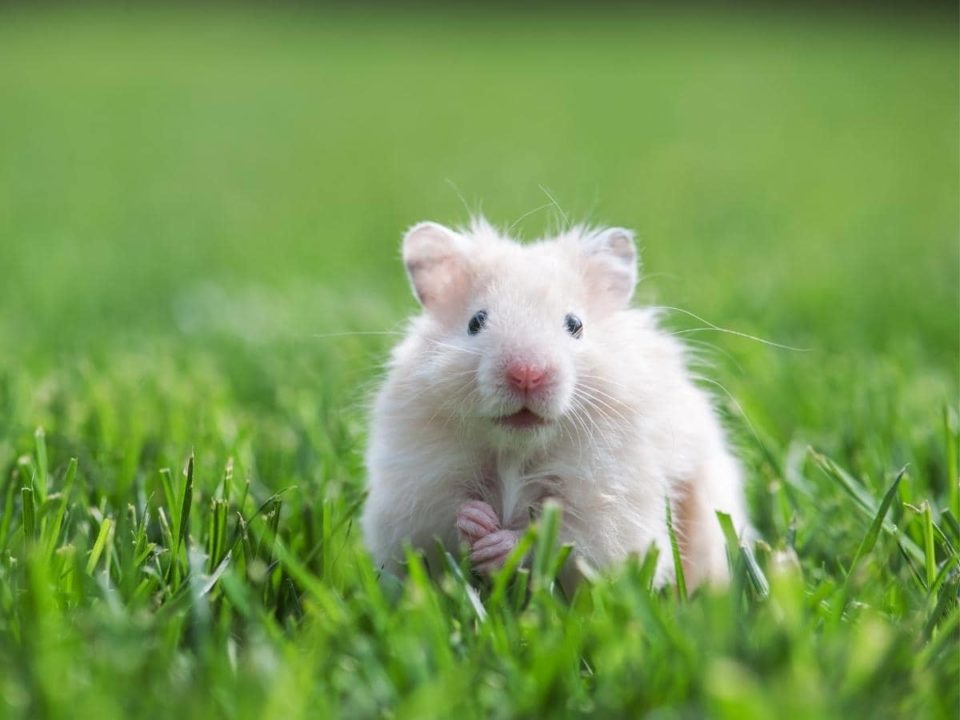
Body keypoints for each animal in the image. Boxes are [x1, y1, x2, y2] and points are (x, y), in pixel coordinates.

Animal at [362, 217, 750, 588]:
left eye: (574, 324)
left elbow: (560, 538)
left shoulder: (608, 510)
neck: (517, 449)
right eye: (476, 322)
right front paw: (477, 520)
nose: (526, 374)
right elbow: (443, 519)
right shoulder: (414, 495)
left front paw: (499, 545)